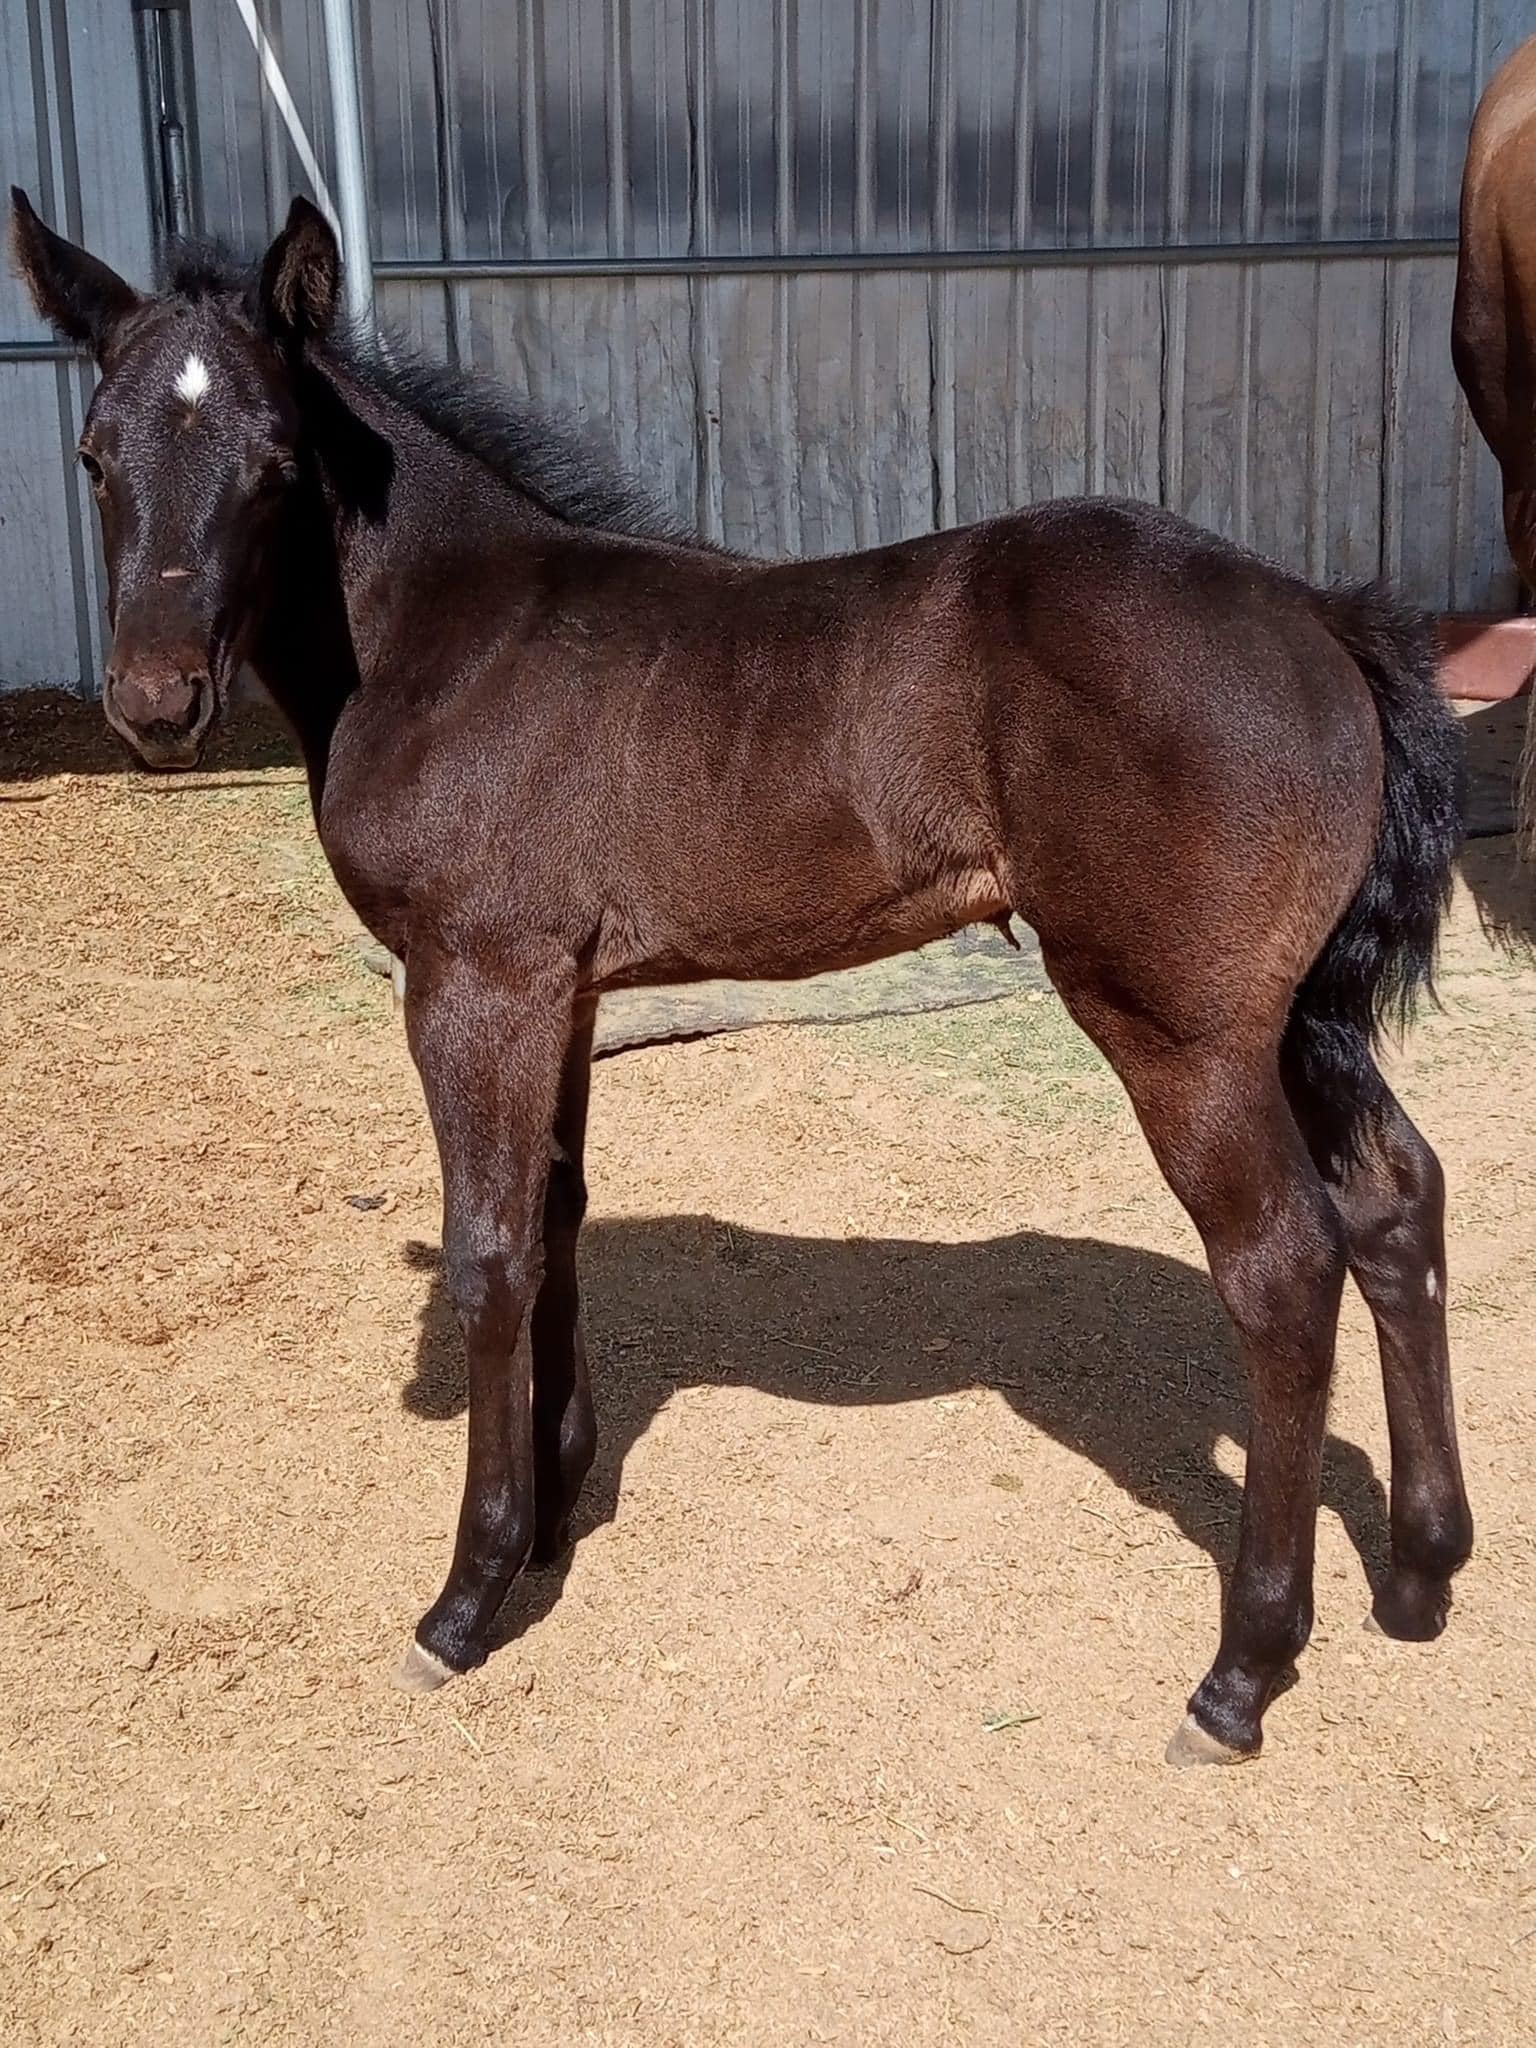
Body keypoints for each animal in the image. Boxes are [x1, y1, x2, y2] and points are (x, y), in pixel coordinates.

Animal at [10, 188, 1472, 1766]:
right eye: (93, 454)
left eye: (274, 459)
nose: (154, 705)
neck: (444, 636)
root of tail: (1318, 611)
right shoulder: (565, 988)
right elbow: (559, 1219)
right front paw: (556, 1515)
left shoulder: (474, 980)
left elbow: (489, 1253)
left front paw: (465, 1598)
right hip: (1301, 1014)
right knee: (1397, 1201)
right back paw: (1421, 1571)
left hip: (1183, 1027)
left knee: (1284, 1267)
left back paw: (1241, 1673)